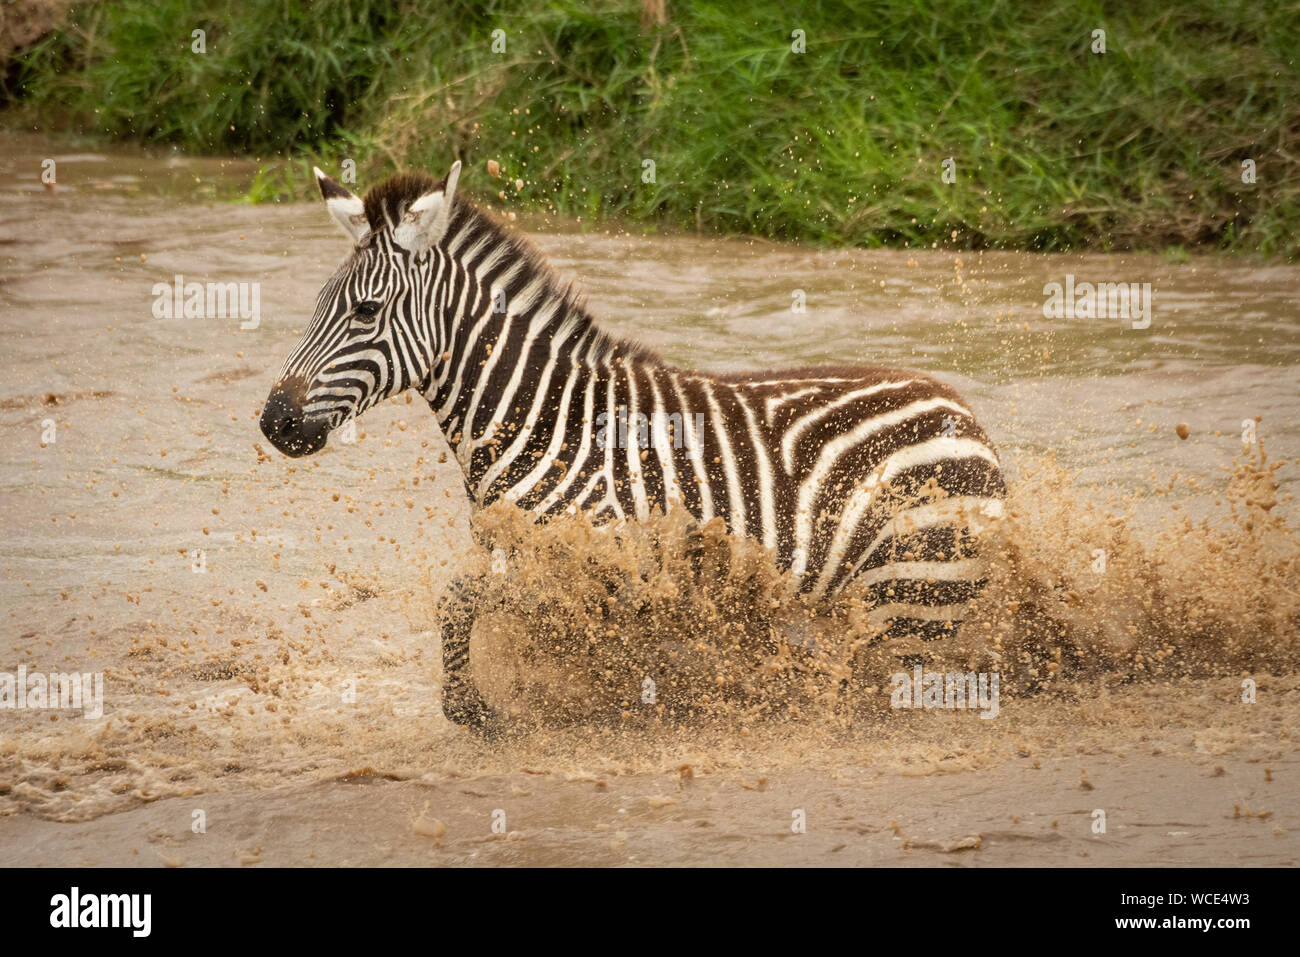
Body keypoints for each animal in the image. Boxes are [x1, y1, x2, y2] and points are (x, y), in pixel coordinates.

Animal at [259, 161, 1006, 732]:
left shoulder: (602, 561)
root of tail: (963, 412)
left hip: (904, 593)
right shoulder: (514, 550)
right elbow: (456, 601)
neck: (549, 422)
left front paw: (498, 705)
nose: (274, 421)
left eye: (365, 312)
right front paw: (476, 705)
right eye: (319, 304)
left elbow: (487, 609)